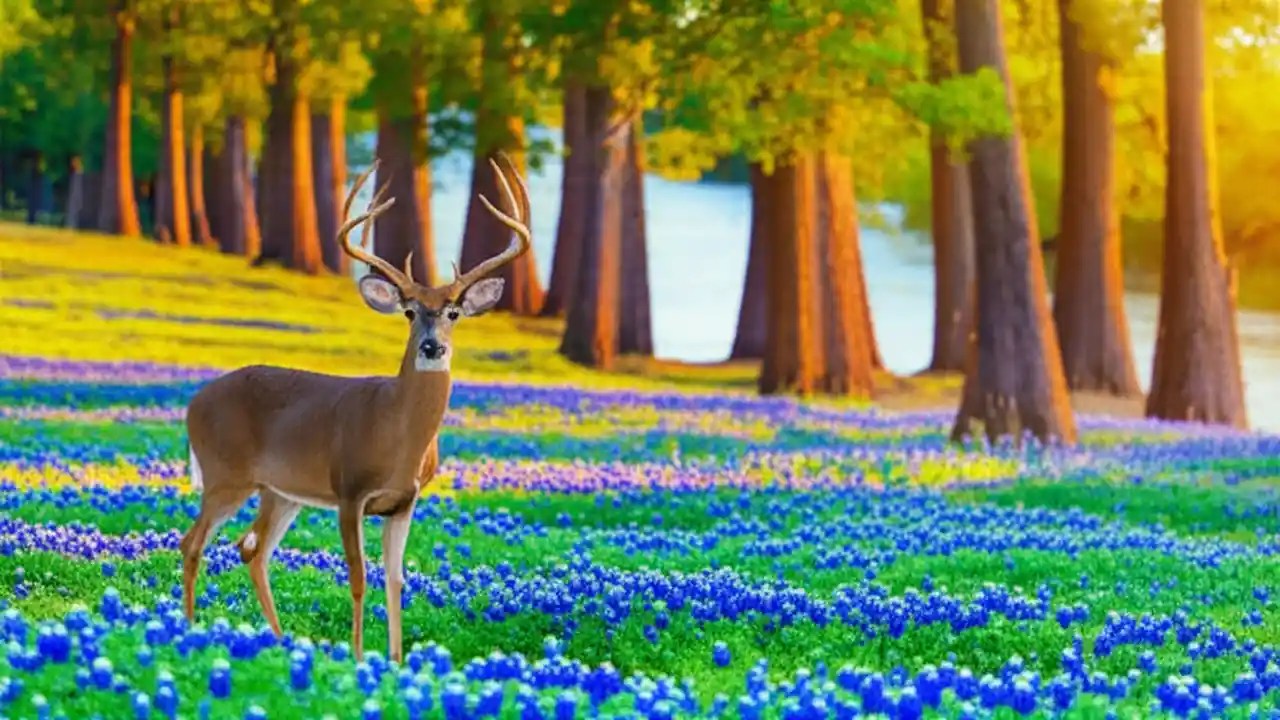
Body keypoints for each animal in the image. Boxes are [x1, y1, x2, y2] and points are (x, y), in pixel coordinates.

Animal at [179, 153, 532, 664]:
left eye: (454, 312)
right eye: (409, 311)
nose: (431, 347)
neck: (399, 437)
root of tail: (192, 403)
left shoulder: (404, 502)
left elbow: (396, 580)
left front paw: (397, 660)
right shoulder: (349, 491)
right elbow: (359, 577)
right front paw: (362, 657)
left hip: (280, 491)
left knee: (252, 549)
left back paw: (279, 639)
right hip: (226, 476)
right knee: (193, 542)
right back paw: (186, 631)